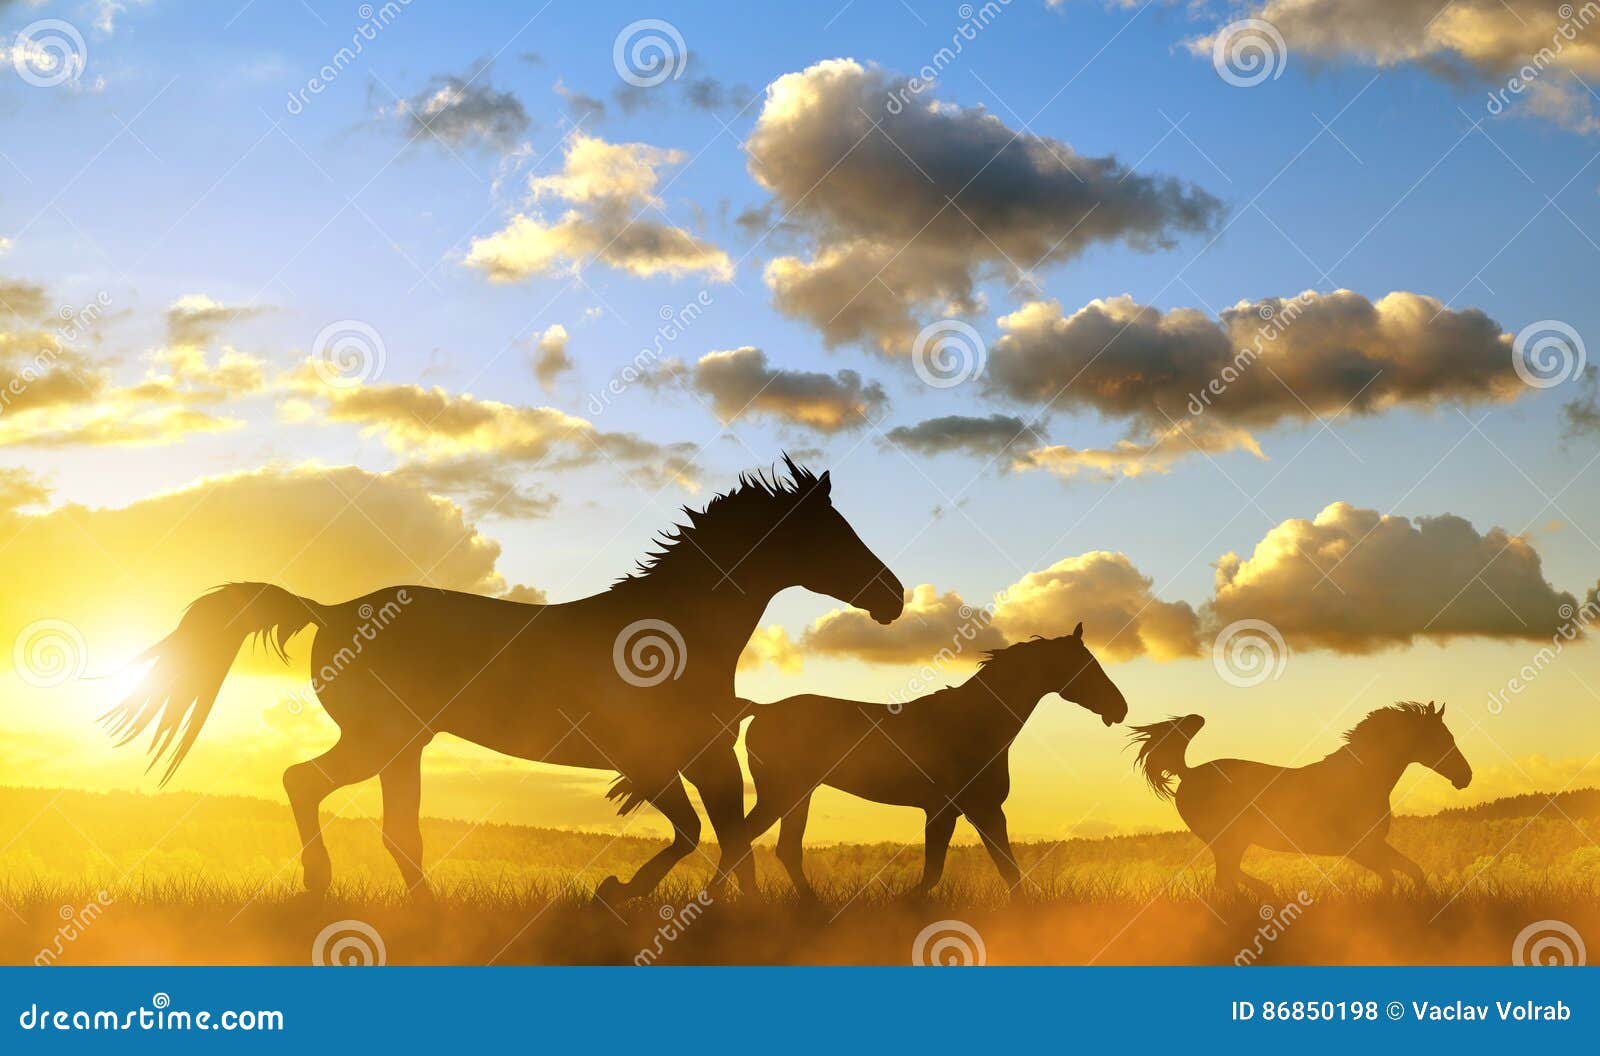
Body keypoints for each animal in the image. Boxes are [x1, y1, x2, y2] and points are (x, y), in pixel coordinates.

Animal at [102, 457, 905, 903]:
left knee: (396, 830)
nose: (893, 598)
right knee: (306, 784)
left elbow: (729, 836)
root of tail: (328, 612)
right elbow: (694, 833)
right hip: (381, 739)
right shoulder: (648, 758)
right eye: (830, 534)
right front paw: (617, 892)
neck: (672, 632)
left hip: (405, 747)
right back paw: (323, 884)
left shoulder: (704, 753)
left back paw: (424, 909)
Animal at [732, 627, 1127, 900]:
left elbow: (1004, 868)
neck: (975, 723)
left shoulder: (979, 810)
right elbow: (943, 871)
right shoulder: (957, 810)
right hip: (782, 794)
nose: (1120, 708)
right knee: (746, 840)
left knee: (780, 848)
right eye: (1086, 666)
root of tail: (763, 709)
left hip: (798, 796)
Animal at [1129, 701, 1472, 898]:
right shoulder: (1360, 848)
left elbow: (1410, 871)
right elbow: (1394, 875)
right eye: (1442, 739)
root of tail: (1187, 774)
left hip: (1230, 842)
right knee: (1225, 879)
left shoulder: (1370, 846)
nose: (1465, 777)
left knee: (1227, 877)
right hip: (1228, 840)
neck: (1361, 778)